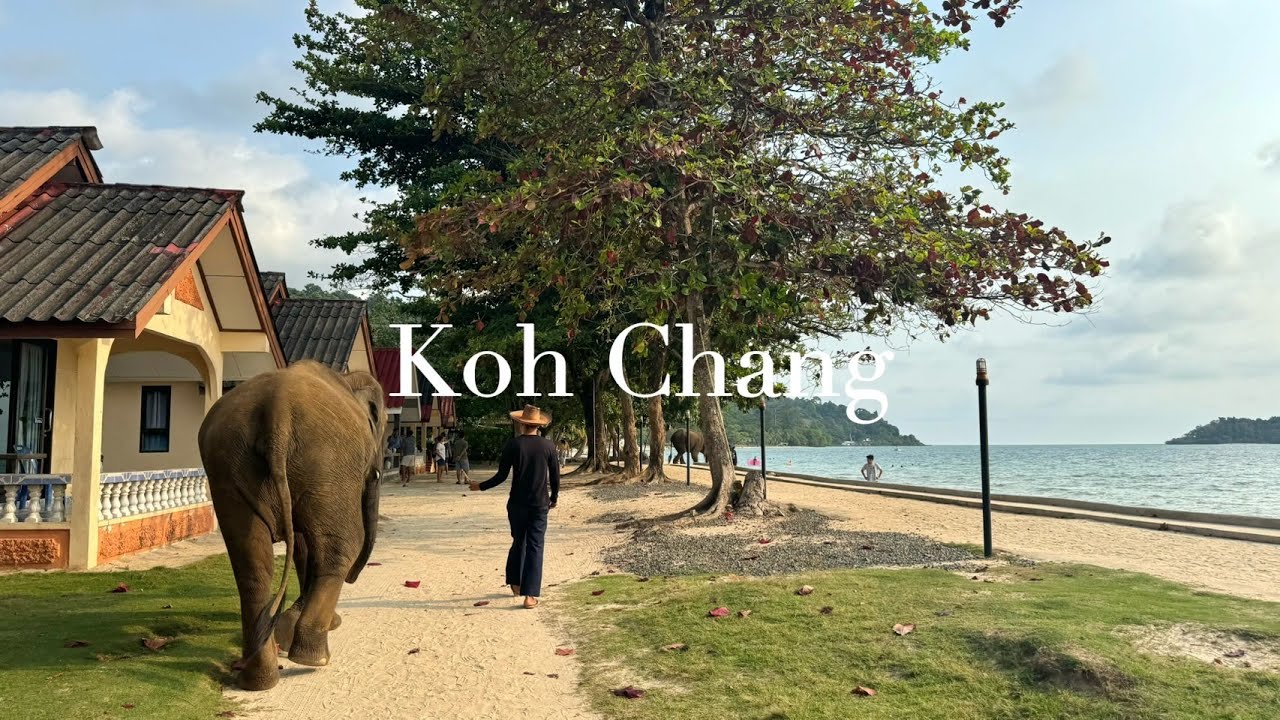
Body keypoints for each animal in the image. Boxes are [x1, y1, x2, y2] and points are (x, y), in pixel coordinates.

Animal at [198, 360, 387, 691]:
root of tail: (277, 413)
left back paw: (259, 680)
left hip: (229, 468)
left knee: (251, 566)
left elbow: (300, 543)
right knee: (342, 546)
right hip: (326, 463)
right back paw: (313, 658)